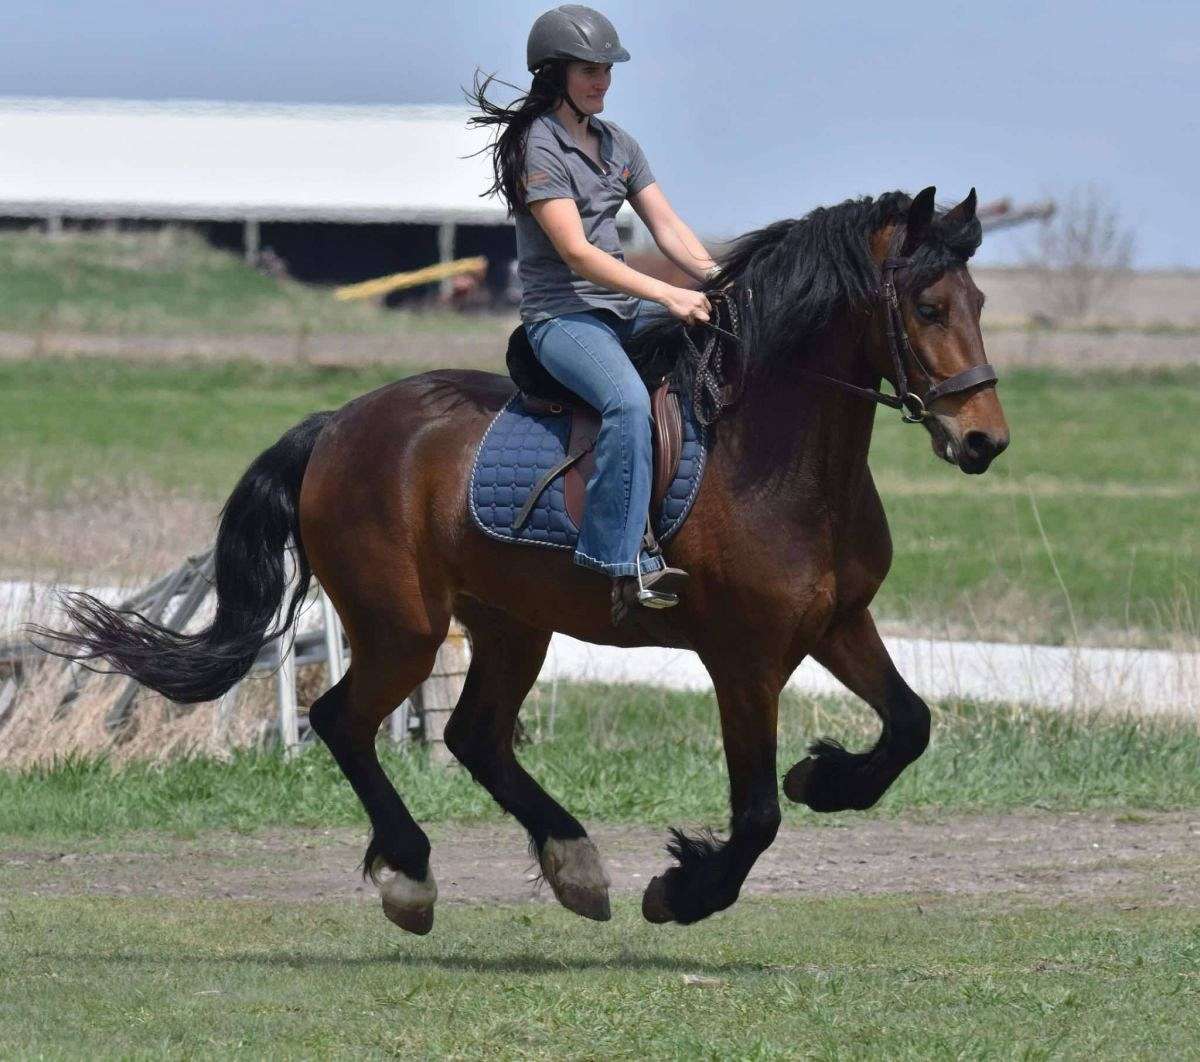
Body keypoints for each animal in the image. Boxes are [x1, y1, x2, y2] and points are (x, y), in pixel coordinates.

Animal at [37, 185, 1008, 934]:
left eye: (979, 306)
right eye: (927, 309)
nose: (983, 441)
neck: (776, 455)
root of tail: (337, 426)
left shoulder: (839, 622)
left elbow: (910, 724)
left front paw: (826, 777)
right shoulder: (744, 657)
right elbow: (759, 813)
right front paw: (684, 890)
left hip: (510, 625)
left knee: (473, 735)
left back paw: (574, 864)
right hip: (403, 627)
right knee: (344, 720)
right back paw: (412, 877)